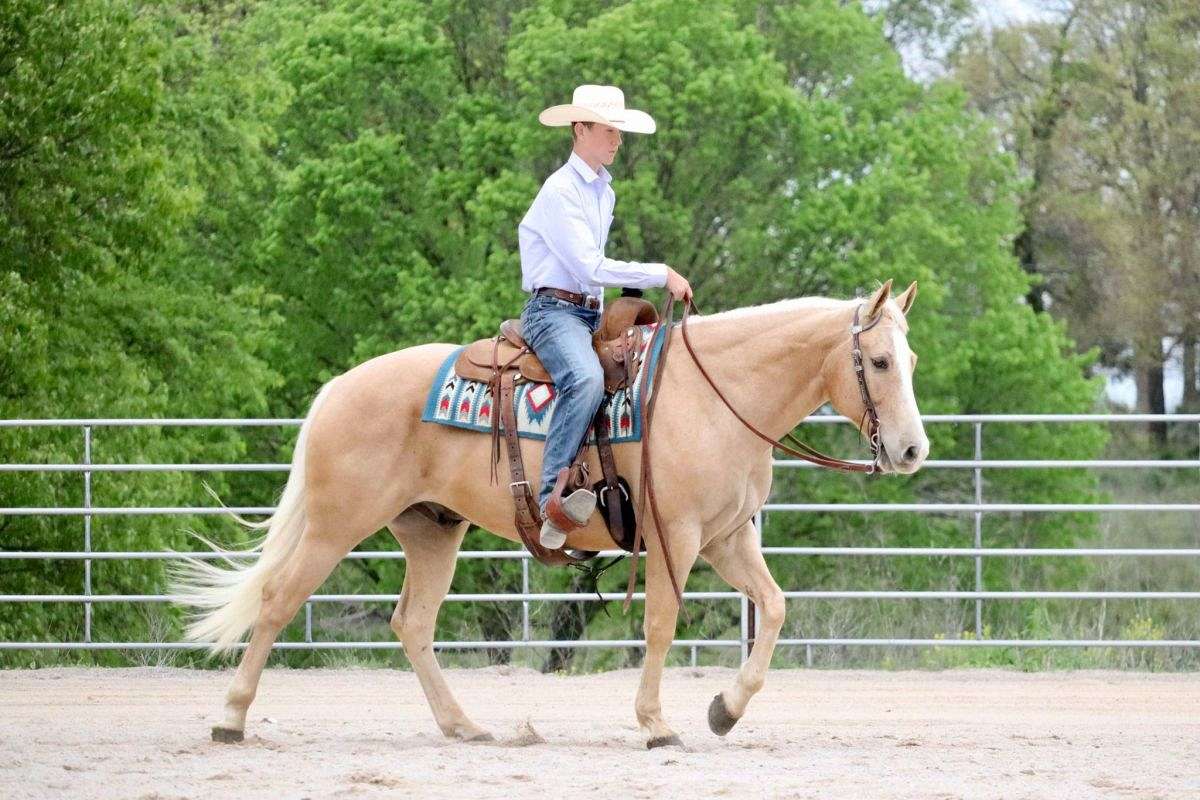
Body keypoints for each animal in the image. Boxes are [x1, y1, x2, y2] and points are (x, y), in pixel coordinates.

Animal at [171, 279, 928, 749]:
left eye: (912, 358)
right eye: (880, 361)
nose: (912, 449)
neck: (716, 395)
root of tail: (337, 388)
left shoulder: (727, 538)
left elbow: (773, 608)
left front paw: (725, 710)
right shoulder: (677, 537)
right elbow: (659, 627)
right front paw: (656, 725)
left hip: (431, 528)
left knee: (412, 624)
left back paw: (463, 725)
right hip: (338, 523)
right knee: (278, 599)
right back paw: (231, 719)